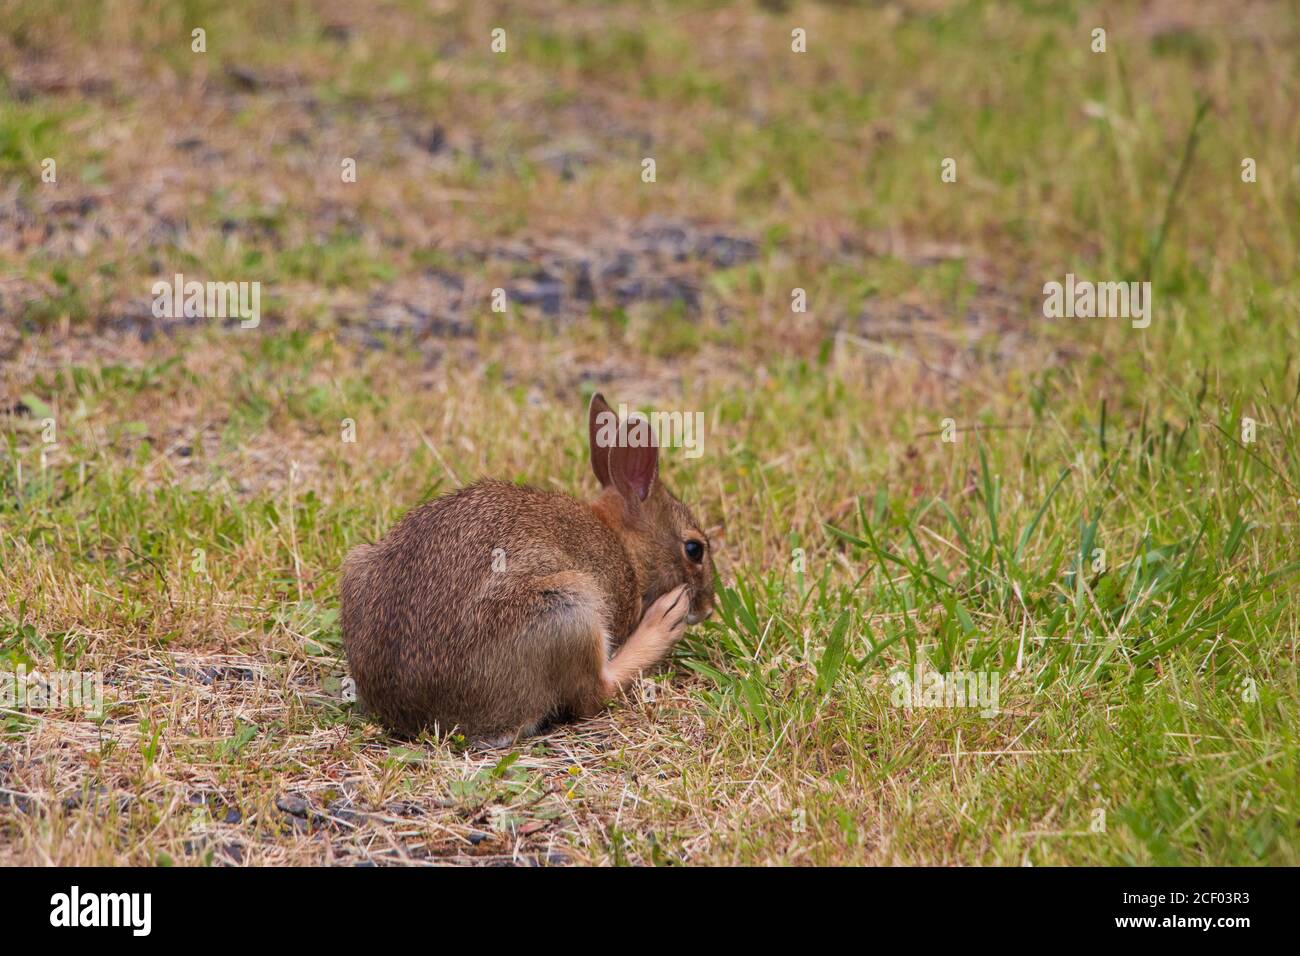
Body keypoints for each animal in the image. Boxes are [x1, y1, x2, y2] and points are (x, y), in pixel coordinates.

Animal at [340, 393, 715, 747]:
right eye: (694, 549)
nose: (707, 609)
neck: (627, 547)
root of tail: (423, 713)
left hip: (358, 564)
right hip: (568, 608)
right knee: (593, 694)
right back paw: (663, 623)